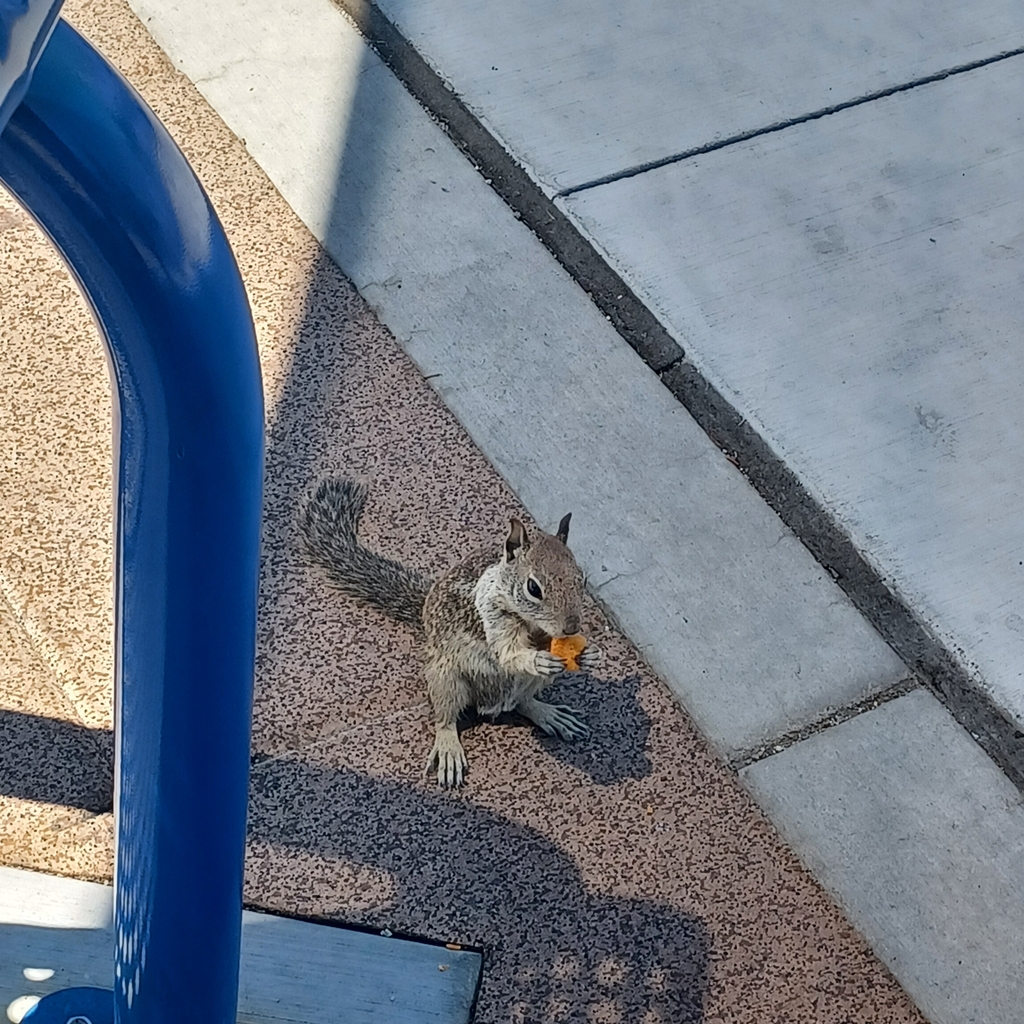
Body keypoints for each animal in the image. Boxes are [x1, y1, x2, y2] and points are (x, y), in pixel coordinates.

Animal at [299, 476, 602, 787]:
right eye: (533, 588)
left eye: (582, 579)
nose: (572, 626)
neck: (528, 621)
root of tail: (491, 703)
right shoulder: (491, 615)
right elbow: (507, 653)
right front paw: (536, 658)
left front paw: (588, 654)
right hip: (445, 678)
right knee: (446, 717)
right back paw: (448, 747)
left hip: (529, 684)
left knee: (523, 702)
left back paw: (547, 713)